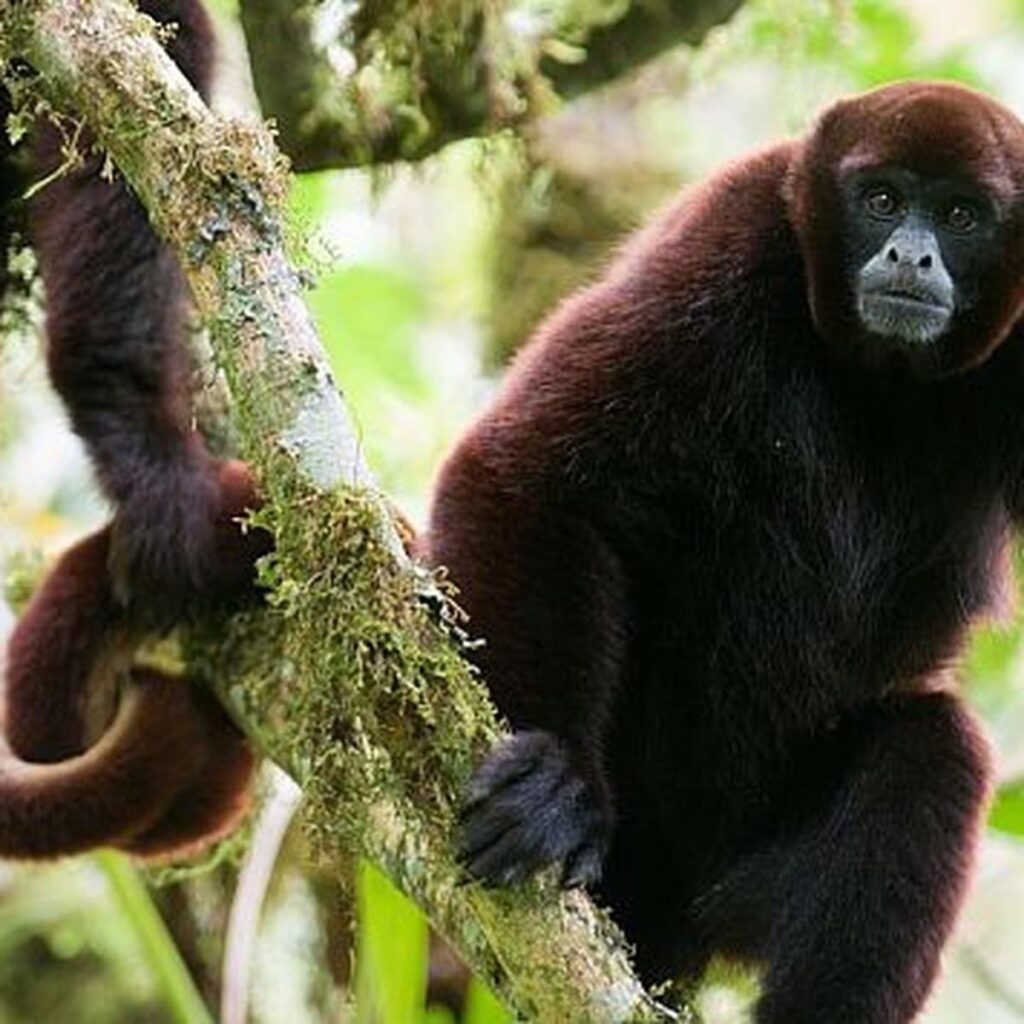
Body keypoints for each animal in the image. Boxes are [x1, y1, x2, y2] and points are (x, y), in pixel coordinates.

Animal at [434, 81, 1024, 1022]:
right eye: (881, 199)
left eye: (963, 215)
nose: (912, 253)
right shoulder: (731, 239)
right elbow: (528, 476)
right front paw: (556, 776)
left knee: (931, 750)